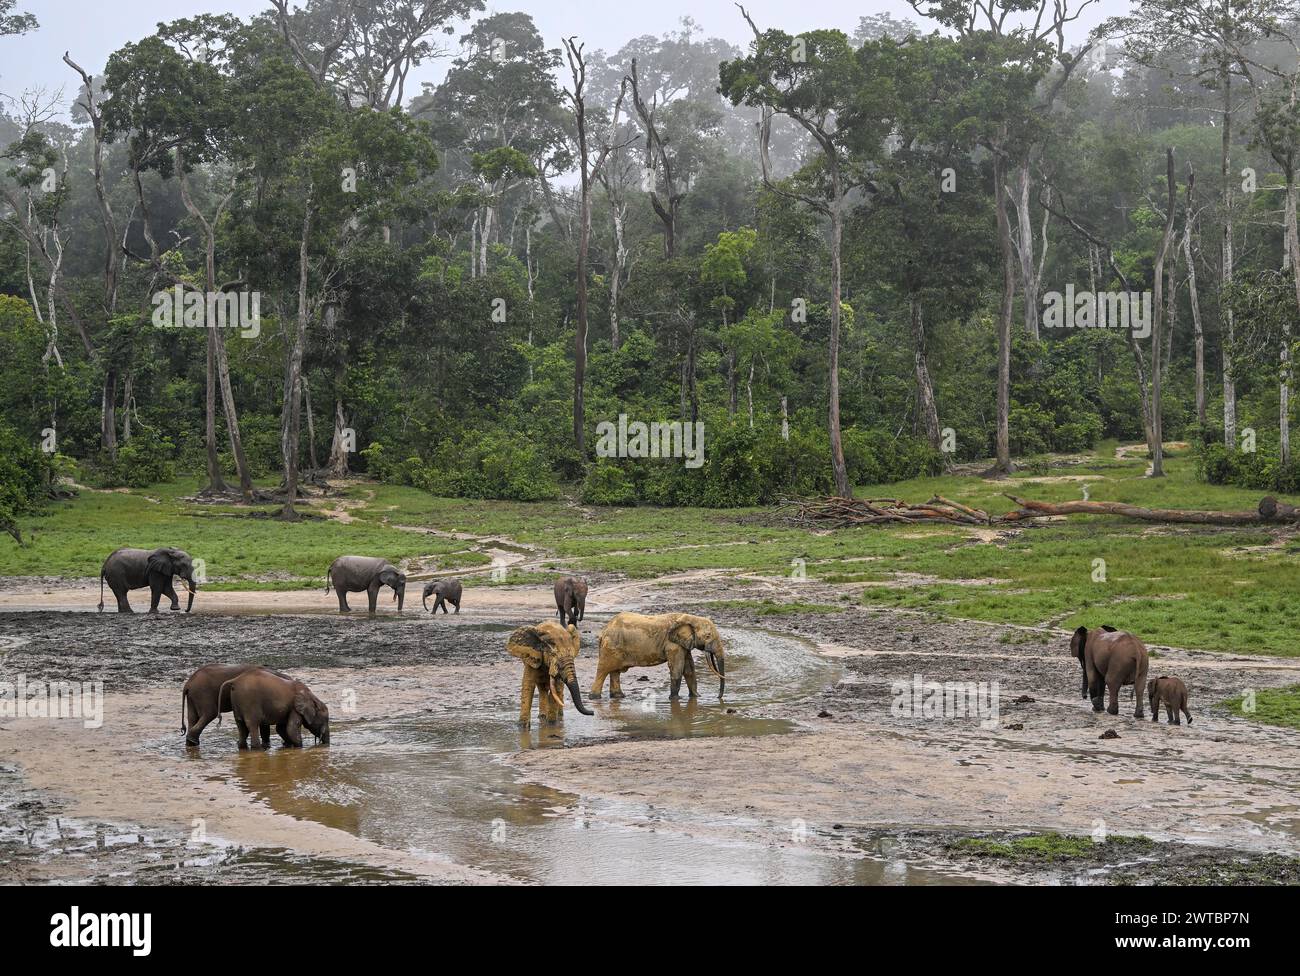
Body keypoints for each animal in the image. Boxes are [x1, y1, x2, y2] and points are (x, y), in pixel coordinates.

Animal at [590, 612, 726, 701]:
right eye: (708, 636)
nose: (717, 697)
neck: (690, 618)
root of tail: (604, 631)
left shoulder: (683, 644)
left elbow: (689, 669)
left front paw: (696, 697)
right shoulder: (673, 644)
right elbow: (677, 668)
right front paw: (675, 699)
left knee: (615, 671)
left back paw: (618, 697)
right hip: (610, 647)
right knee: (603, 670)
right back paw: (595, 698)